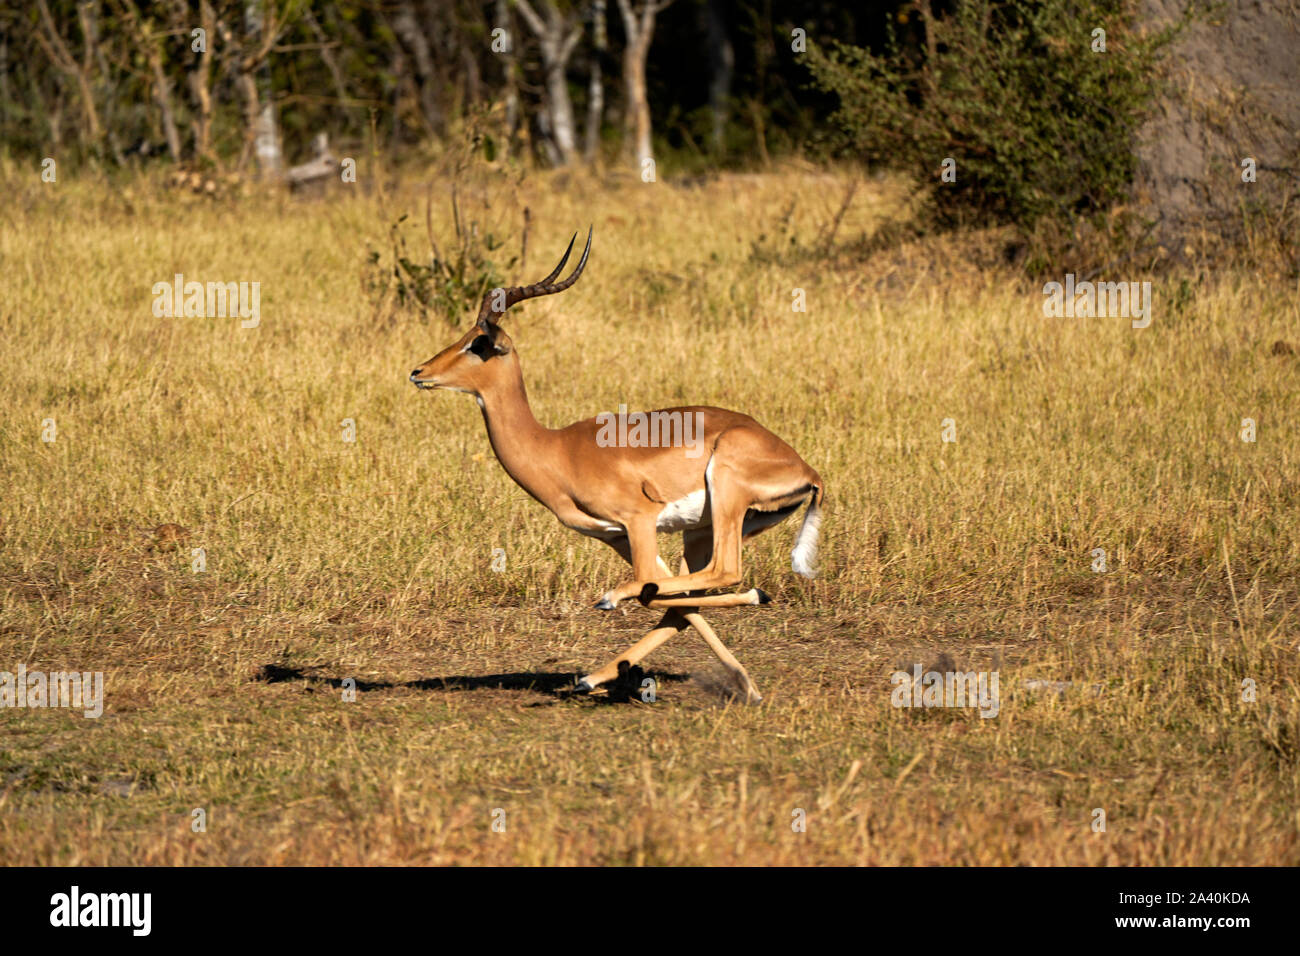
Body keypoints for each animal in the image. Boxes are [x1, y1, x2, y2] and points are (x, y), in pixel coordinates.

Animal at [408, 230, 824, 703]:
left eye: (477, 344)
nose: (418, 371)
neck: (555, 450)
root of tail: (806, 470)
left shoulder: (638, 520)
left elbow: (650, 591)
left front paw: (609, 601)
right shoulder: (615, 536)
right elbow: (668, 598)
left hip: (724, 497)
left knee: (724, 572)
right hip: (702, 532)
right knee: (686, 595)